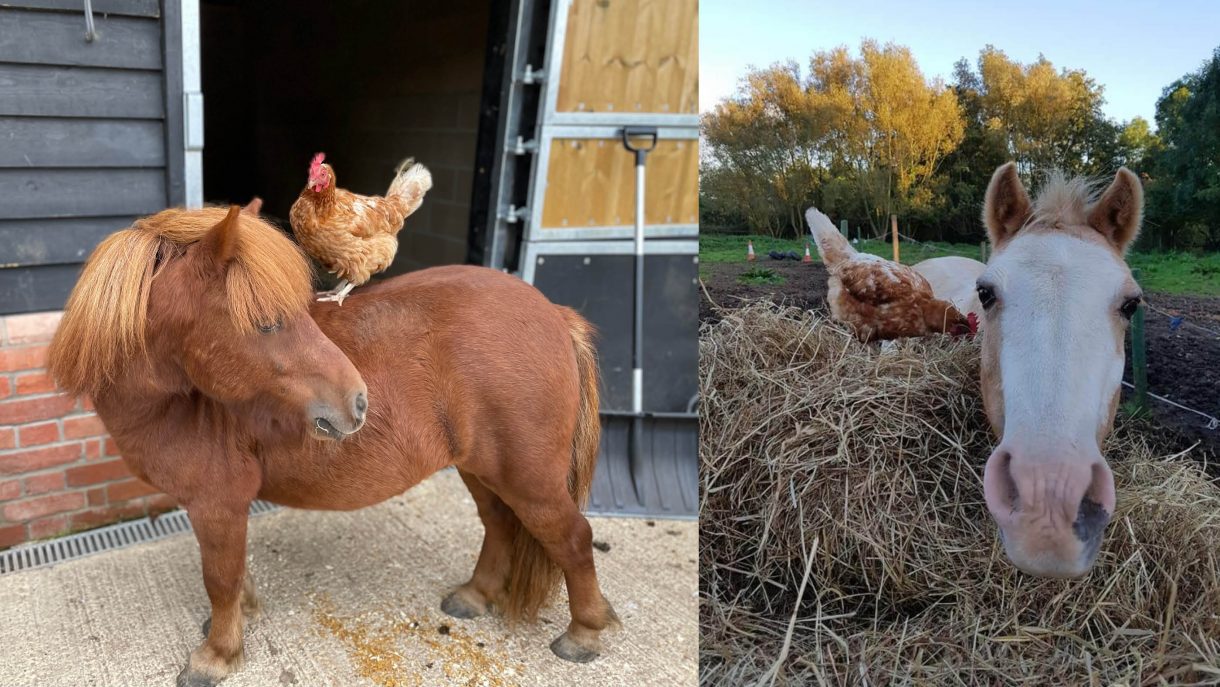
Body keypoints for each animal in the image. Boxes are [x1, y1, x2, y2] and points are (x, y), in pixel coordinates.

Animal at [46, 205, 619, 686]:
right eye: (267, 322)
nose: (358, 402)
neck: (180, 401)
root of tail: (553, 312)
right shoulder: (220, 508)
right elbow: (233, 575)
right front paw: (237, 622)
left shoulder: (216, 504)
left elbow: (219, 578)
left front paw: (216, 656)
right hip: (480, 468)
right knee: (499, 522)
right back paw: (475, 596)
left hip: (529, 479)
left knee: (572, 538)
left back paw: (583, 633)